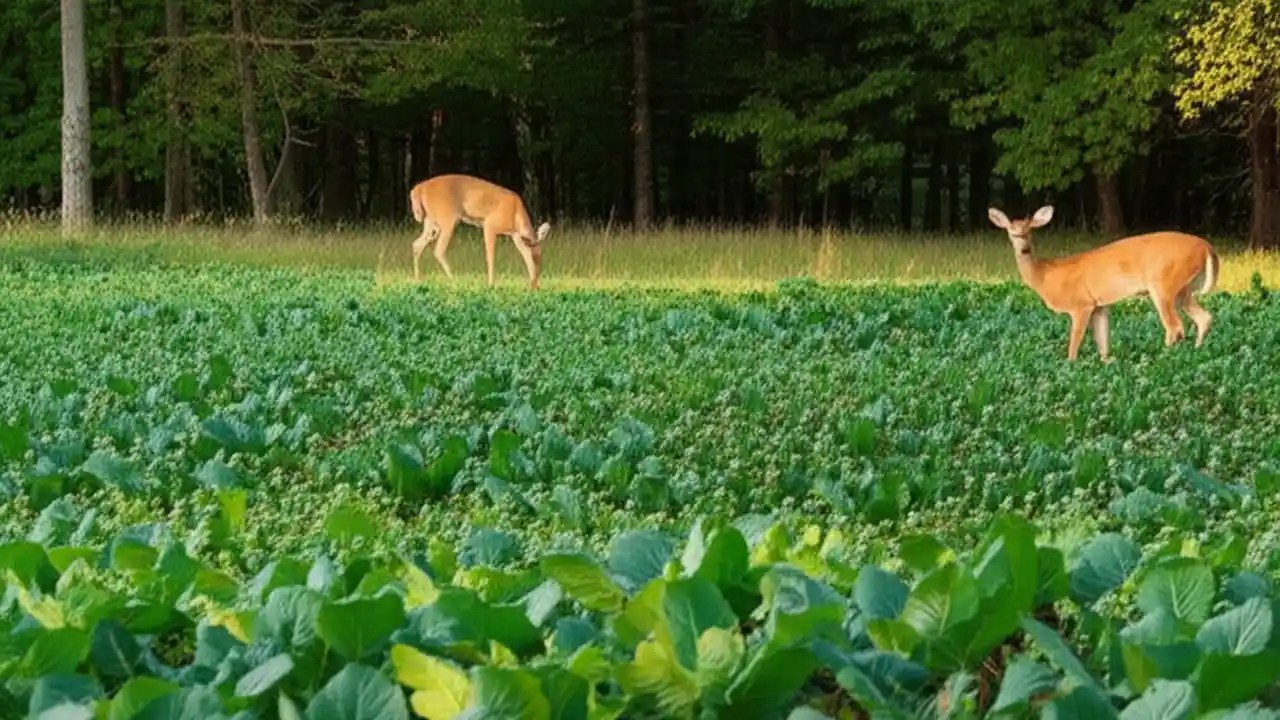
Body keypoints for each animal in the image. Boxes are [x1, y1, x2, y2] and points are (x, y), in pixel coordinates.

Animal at [408, 174, 552, 290]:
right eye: (537, 254)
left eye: (542, 254)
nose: (536, 282)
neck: (517, 218)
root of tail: (418, 189)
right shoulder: (490, 225)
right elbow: (490, 256)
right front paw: (491, 284)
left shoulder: (515, 236)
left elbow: (524, 256)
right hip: (447, 219)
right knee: (438, 250)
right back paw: (454, 280)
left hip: (431, 221)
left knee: (416, 244)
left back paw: (417, 280)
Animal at [988, 206, 1220, 362]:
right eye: (1011, 232)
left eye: (1028, 231)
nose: (1023, 248)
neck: (1046, 275)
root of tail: (1206, 246)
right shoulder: (1099, 305)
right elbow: (1103, 344)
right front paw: (1107, 362)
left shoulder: (1080, 304)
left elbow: (1074, 343)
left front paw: (1070, 364)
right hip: (1183, 288)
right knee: (1204, 317)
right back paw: (1197, 351)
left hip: (1164, 283)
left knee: (1175, 325)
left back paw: (1165, 357)